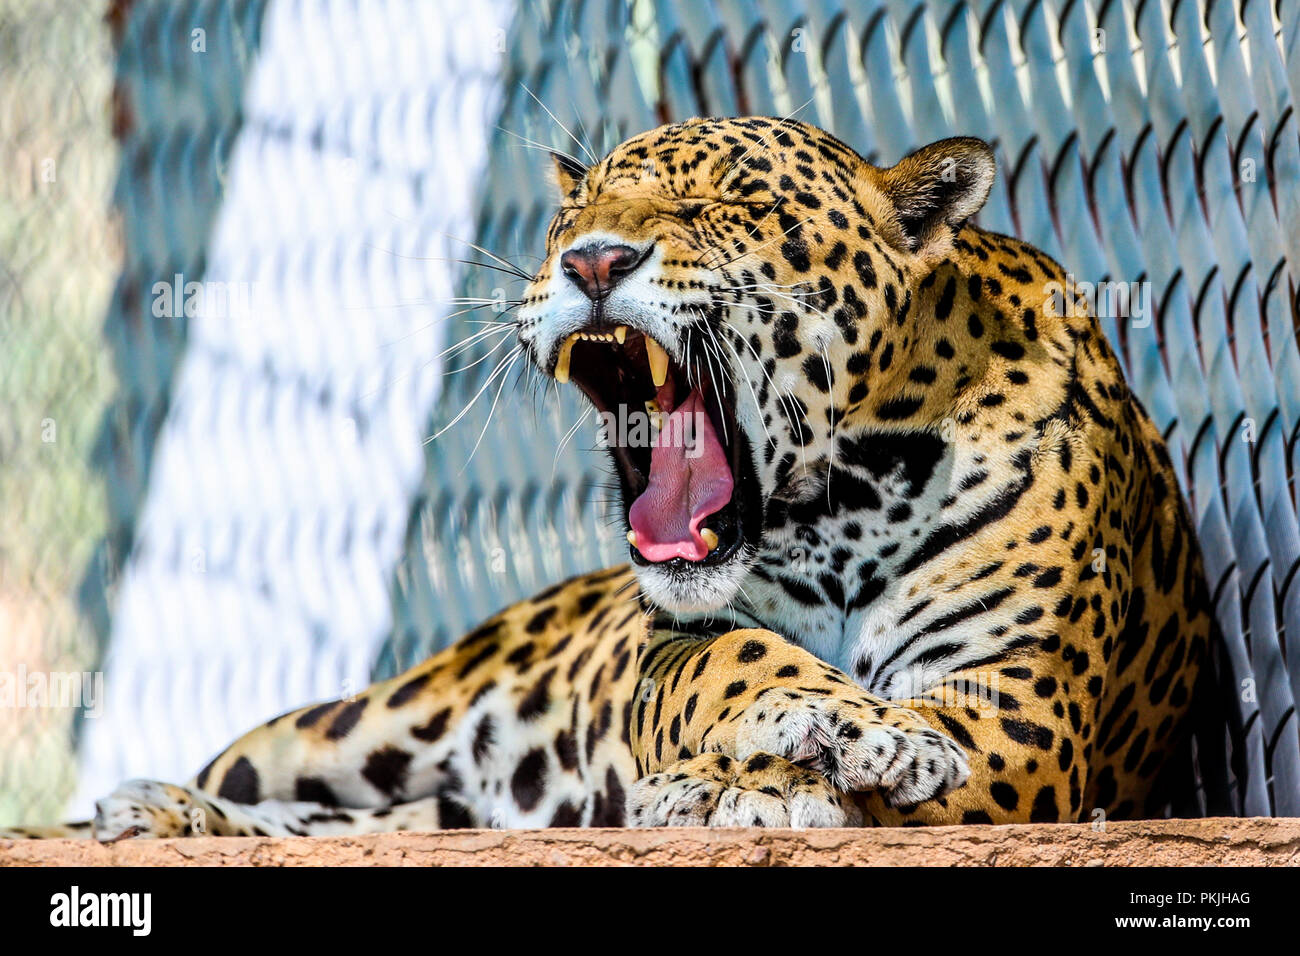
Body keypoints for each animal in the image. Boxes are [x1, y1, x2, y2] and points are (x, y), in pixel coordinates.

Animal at [3, 117, 1210, 839]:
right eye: (570, 217)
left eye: (727, 208)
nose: (592, 259)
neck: (838, 512)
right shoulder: (662, 645)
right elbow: (736, 656)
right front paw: (786, 748)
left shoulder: (1022, 706)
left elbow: (905, 756)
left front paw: (799, 769)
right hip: (360, 721)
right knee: (269, 788)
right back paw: (153, 810)